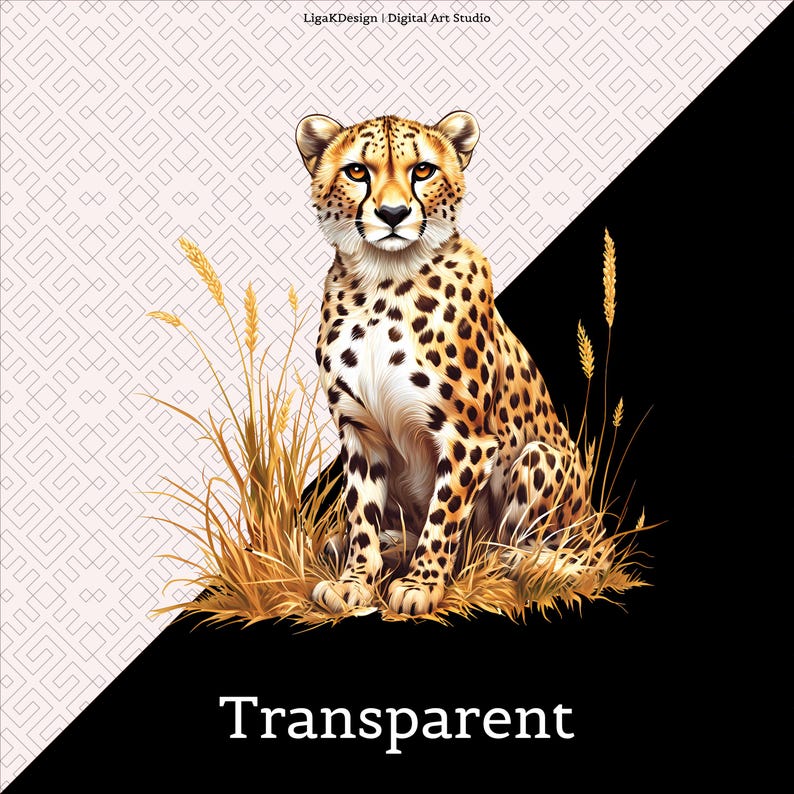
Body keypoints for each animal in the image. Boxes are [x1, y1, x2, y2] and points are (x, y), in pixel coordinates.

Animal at [296, 111, 603, 616]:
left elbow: (444, 517)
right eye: (357, 171)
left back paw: (535, 564)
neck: (384, 282)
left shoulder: (468, 440)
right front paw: (355, 580)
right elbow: (361, 513)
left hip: (544, 458)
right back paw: (384, 545)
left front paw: (421, 585)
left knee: (503, 548)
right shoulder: (359, 431)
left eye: (423, 170)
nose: (393, 214)